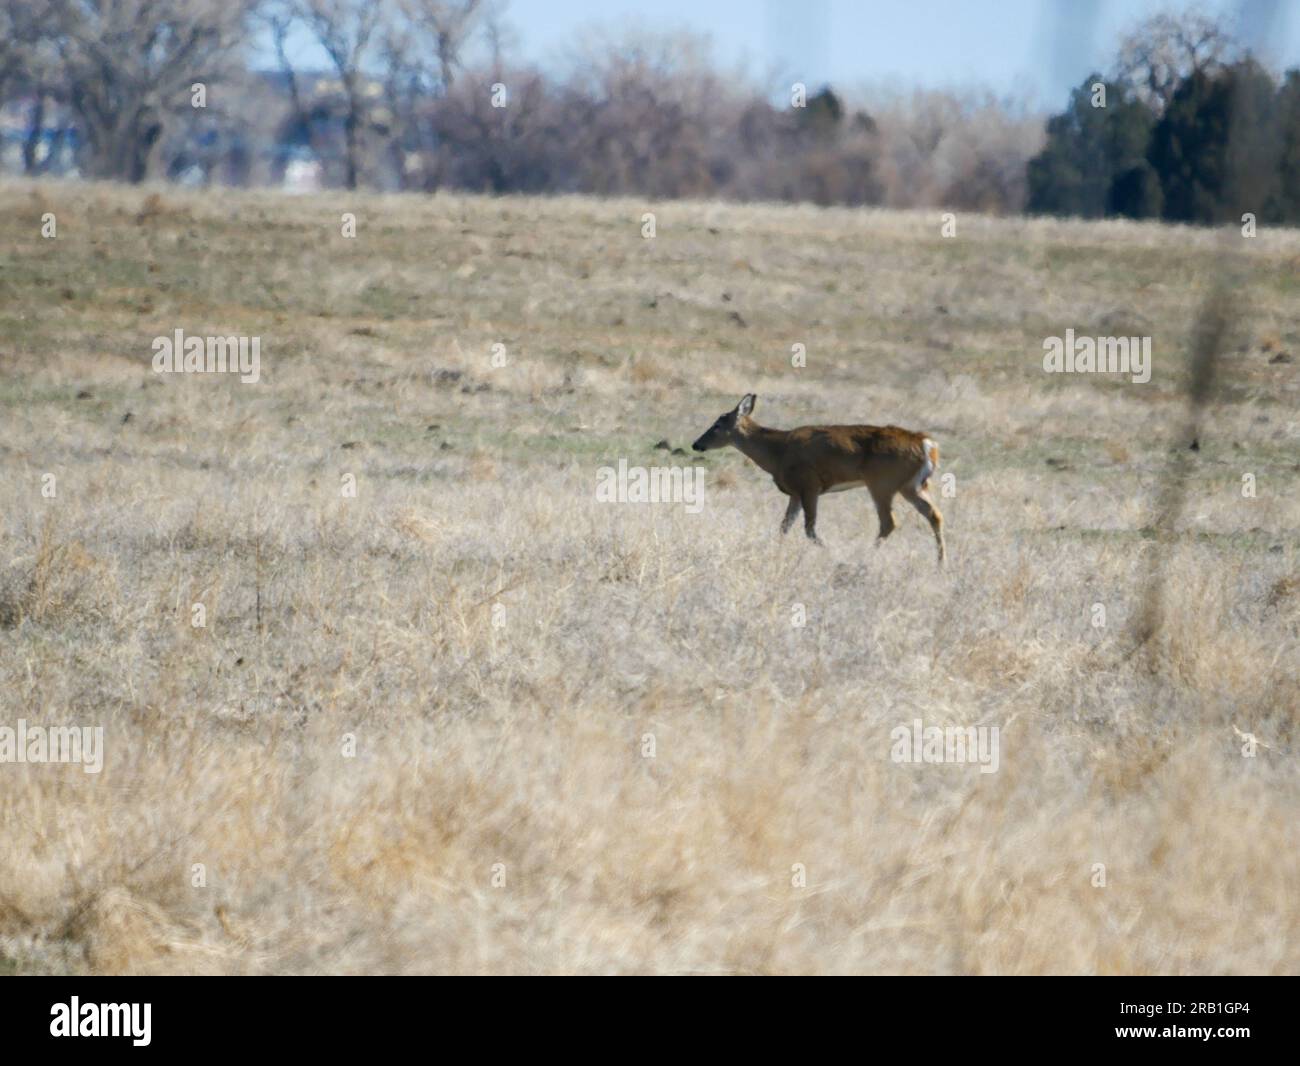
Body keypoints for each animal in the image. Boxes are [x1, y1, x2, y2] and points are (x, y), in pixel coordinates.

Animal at [691, 394, 945, 564]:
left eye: (717, 425)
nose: (696, 444)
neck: (777, 452)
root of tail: (926, 444)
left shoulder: (809, 484)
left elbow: (809, 528)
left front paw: (828, 551)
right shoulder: (795, 492)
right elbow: (784, 526)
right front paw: (776, 550)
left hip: (882, 483)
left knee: (889, 522)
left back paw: (865, 556)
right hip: (912, 485)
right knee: (934, 515)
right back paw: (941, 563)